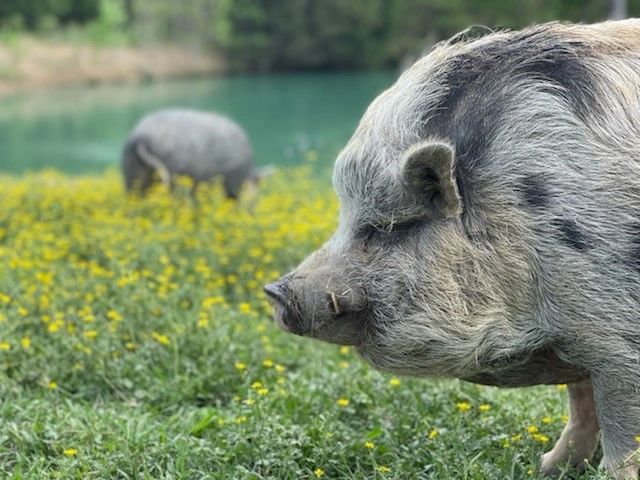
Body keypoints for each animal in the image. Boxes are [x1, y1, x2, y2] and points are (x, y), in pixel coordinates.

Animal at [265, 20, 640, 479]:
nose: (277, 291)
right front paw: (547, 467)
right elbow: (580, 404)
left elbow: (620, 429)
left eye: (384, 228)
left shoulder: (615, 339)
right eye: (347, 220)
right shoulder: (578, 332)